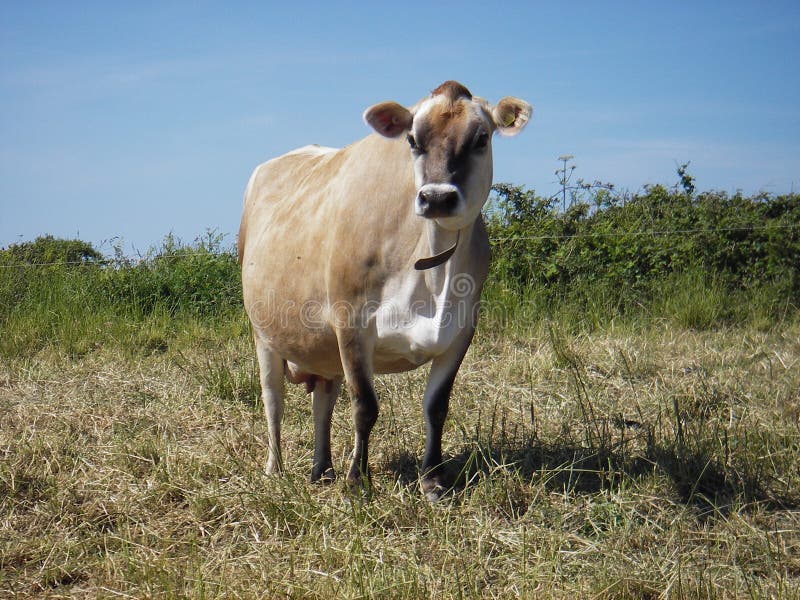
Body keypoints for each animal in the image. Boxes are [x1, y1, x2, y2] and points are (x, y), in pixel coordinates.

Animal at [238, 81, 531, 500]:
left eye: (481, 139)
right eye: (412, 139)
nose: (437, 197)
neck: (433, 275)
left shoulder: (461, 331)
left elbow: (436, 406)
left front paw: (432, 479)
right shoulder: (351, 323)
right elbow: (365, 406)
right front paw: (358, 480)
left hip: (322, 349)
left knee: (323, 402)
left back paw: (322, 469)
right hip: (263, 335)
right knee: (273, 402)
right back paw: (275, 470)